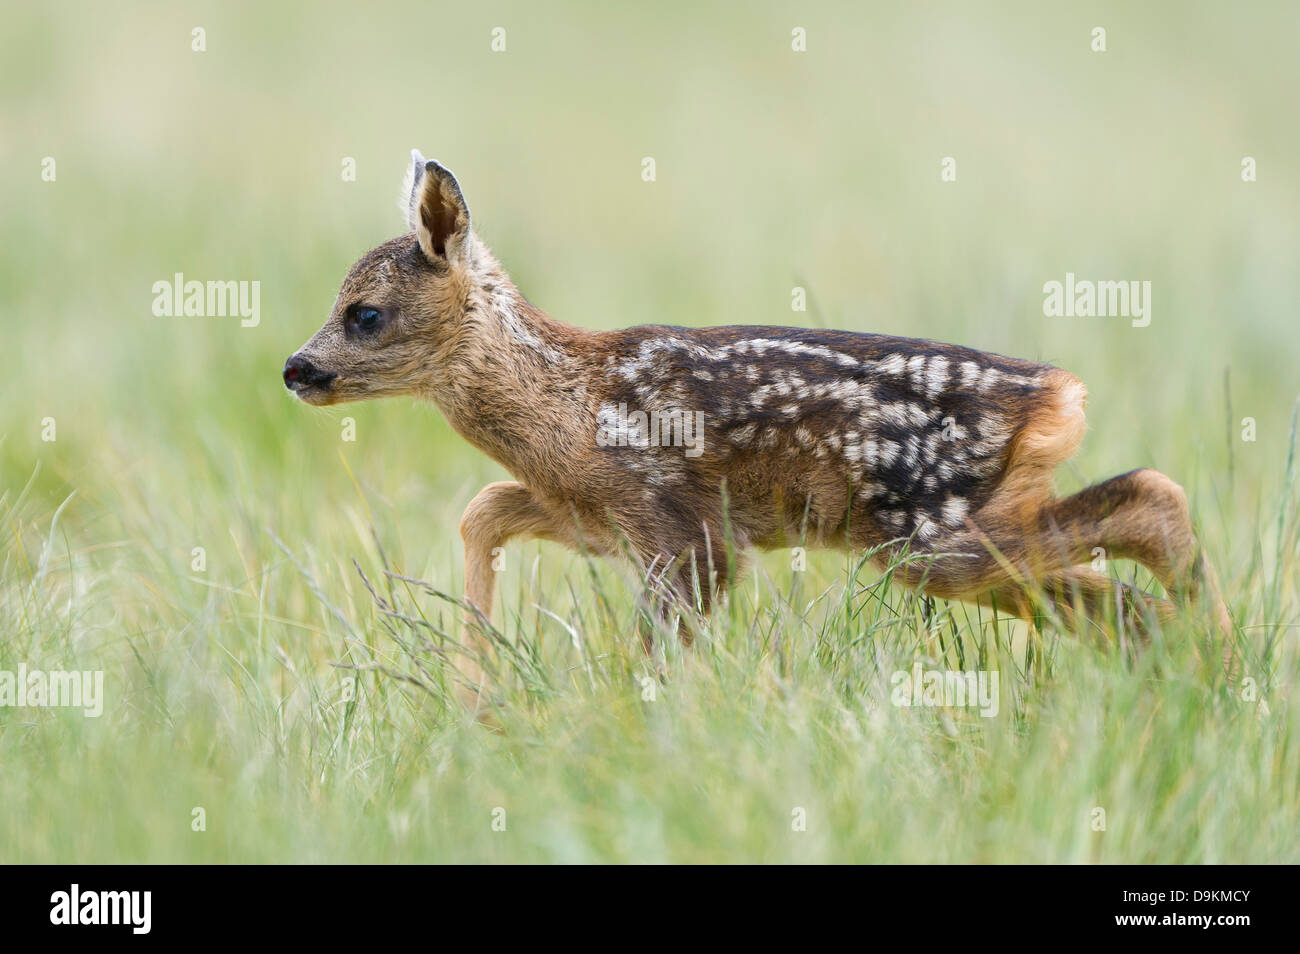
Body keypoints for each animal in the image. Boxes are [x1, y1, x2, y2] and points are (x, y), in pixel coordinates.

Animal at [284, 150, 1233, 710]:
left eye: (364, 313)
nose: (296, 368)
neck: (568, 402)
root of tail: (1058, 396)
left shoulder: (682, 524)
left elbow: (658, 650)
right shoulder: (596, 516)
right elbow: (483, 508)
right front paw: (471, 690)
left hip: (927, 532)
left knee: (1148, 505)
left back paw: (1223, 662)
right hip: (959, 534)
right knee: (1126, 595)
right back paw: (1201, 669)